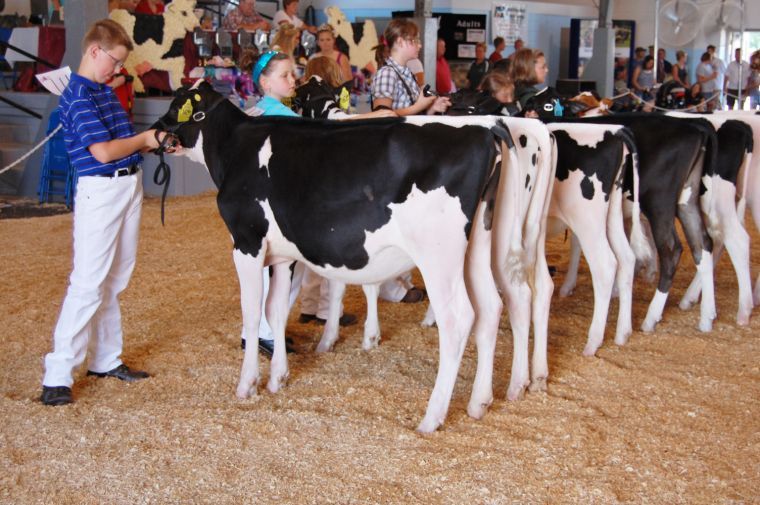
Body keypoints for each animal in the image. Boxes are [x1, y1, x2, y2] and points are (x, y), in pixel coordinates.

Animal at [154, 81, 509, 432]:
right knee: (491, 308)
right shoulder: (282, 256)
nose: (155, 129)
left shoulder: (246, 242)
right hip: (476, 247)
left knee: (458, 318)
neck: (235, 146)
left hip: (439, 256)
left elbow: (253, 312)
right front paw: (278, 378)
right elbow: (277, 310)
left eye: (176, 105)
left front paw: (248, 384)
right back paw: (480, 403)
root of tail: (484, 130)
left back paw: (431, 417)